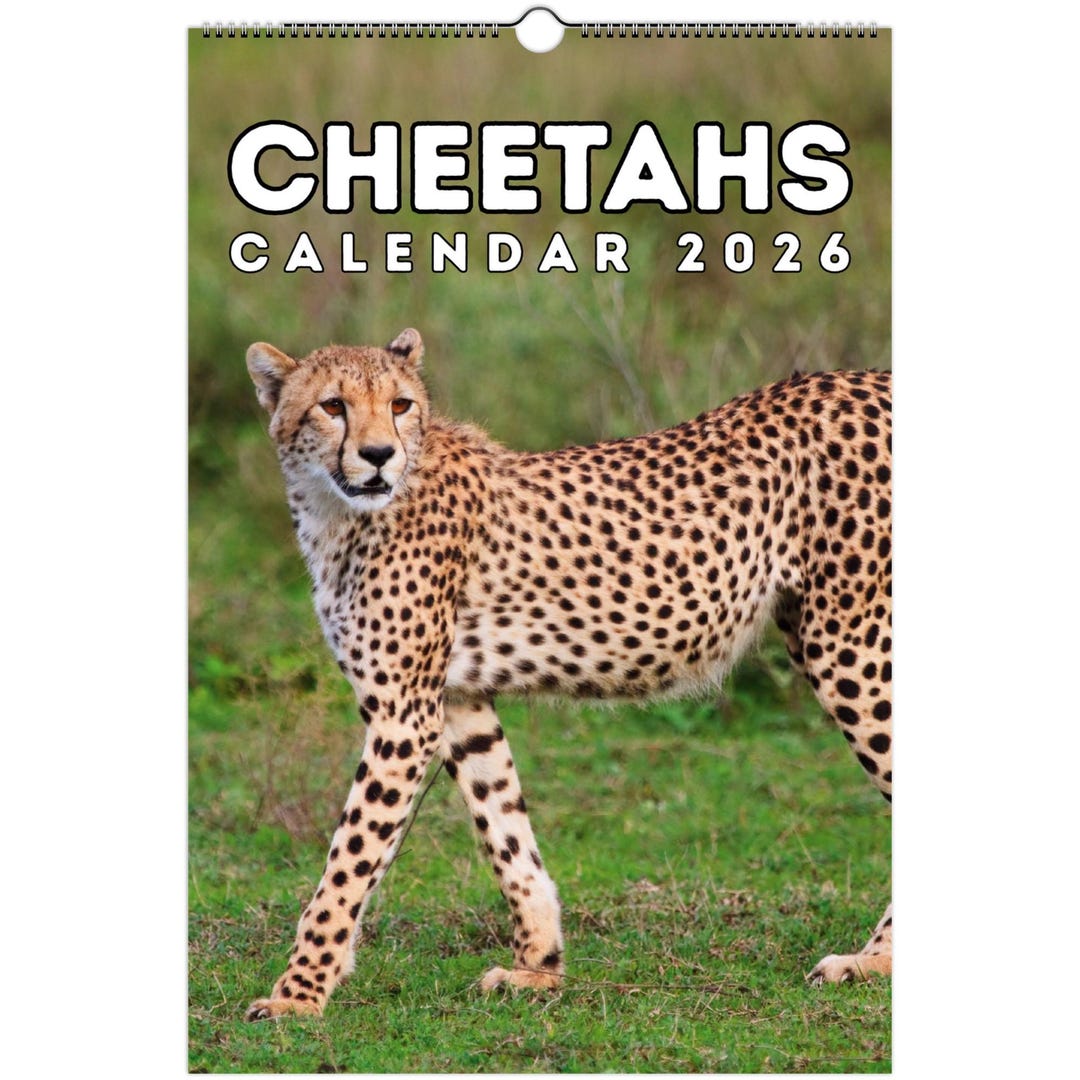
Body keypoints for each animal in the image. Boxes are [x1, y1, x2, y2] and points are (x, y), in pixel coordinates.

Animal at [242, 327, 892, 1020]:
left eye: (399, 404)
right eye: (333, 406)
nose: (378, 456)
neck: (334, 512)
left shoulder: (403, 715)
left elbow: (348, 861)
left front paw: (297, 995)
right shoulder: (458, 701)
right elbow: (505, 828)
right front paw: (540, 966)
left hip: (848, 643)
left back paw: (872, 961)